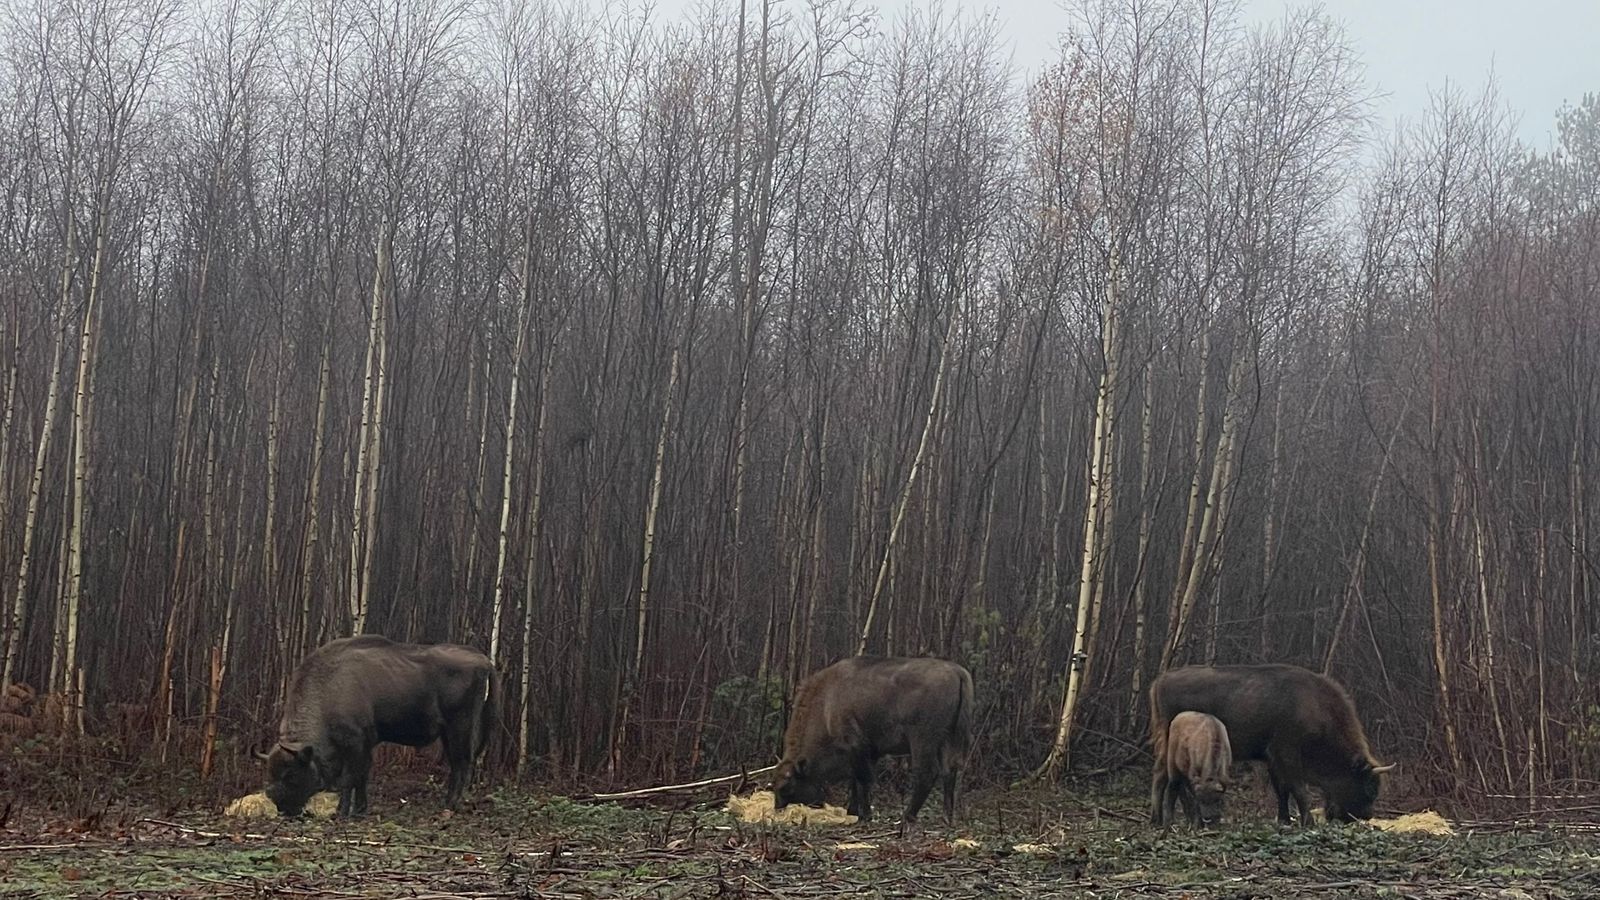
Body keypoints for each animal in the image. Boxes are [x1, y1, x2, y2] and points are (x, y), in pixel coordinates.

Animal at [257, 635, 498, 818]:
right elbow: (362, 777)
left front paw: (341, 813)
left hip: (460, 727)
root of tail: (483, 660)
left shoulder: (354, 745)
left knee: (462, 763)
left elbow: (349, 779)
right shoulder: (365, 746)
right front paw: (360, 810)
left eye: (290, 774)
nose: (282, 808)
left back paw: (451, 805)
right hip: (448, 733)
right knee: (458, 764)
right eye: (271, 773)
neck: (328, 692)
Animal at [770, 656, 972, 831]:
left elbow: (863, 779)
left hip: (923, 740)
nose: (778, 807)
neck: (827, 702)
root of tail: (957, 671)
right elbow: (856, 781)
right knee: (949, 771)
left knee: (927, 773)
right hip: (949, 738)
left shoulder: (856, 747)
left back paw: (907, 817)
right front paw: (853, 811)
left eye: (786, 787)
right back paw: (947, 817)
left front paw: (864, 815)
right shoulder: (870, 752)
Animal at [1148, 664, 1394, 826]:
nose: (1365, 815)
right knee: (1169, 778)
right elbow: (1298, 789)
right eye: (1368, 787)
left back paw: (1163, 819)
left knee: (1164, 777)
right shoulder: (1287, 754)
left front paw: (1284, 819)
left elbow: (1281, 789)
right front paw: (1307, 822)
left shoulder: (1273, 758)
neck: (1315, 708)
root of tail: (1160, 681)